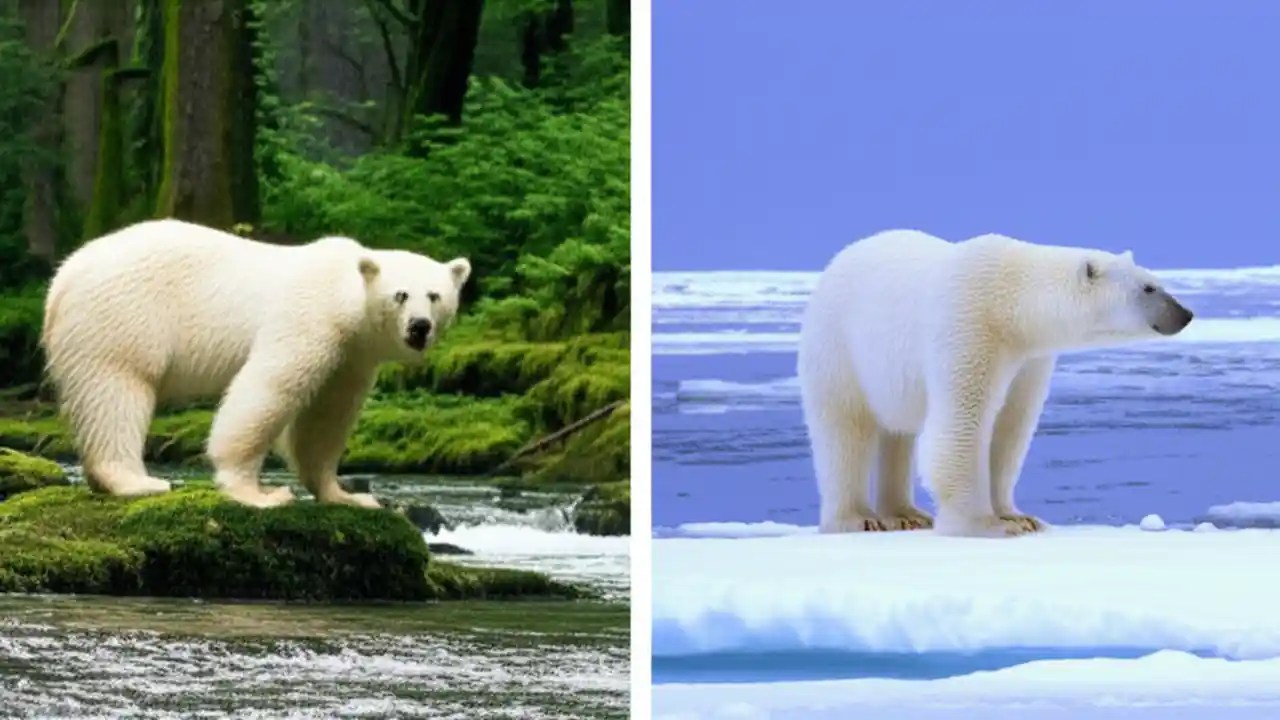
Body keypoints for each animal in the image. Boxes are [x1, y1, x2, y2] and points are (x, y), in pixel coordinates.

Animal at [41, 219, 471, 509]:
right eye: (401, 294)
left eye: (435, 295)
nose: (419, 327)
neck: (341, 291)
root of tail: (62, 279)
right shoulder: (309, 320)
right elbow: (269, 389)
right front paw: (261, 493)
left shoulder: (350, 356)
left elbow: (326, 418)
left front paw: (347, 495)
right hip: (121, 317)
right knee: (117, 391)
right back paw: (138, 482)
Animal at [797, 229, 1194, 538]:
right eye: (1148, 288)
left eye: (1156, 281)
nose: (1186, 314)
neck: (1013, 300)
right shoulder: (970, 326)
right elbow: (964, 423)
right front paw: (987, 525)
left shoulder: (1029, 358)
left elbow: (1010, 427)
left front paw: (1020, 517)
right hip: (839, 347)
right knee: (845, 429)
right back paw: (858, 519)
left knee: (898, 434)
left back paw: (907, 514)